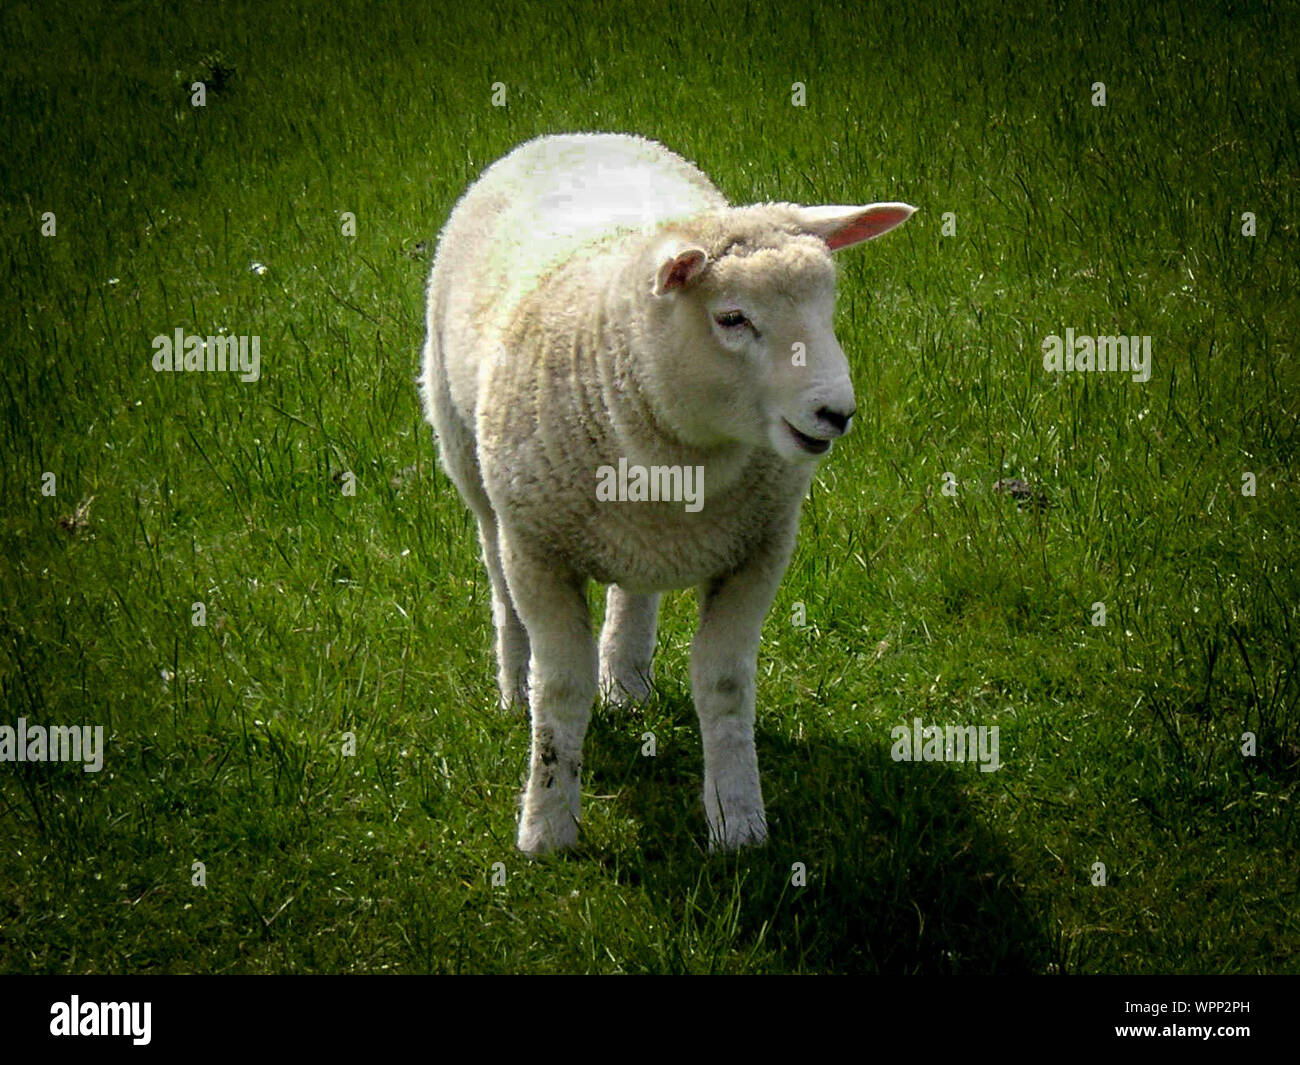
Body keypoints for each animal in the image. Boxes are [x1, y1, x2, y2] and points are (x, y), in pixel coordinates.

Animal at [420, 132, 914, 854]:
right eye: (732, 318)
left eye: (827, 310)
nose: (836, 413)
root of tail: (578, 132)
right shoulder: (538, 550)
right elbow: (560, 687)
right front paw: (547, 826)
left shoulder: (760, 550)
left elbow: (725, 683)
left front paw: (738, 821)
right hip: (470, 461)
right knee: (498, 583)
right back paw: (513, 686)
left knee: (635, 591)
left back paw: (626, 678)